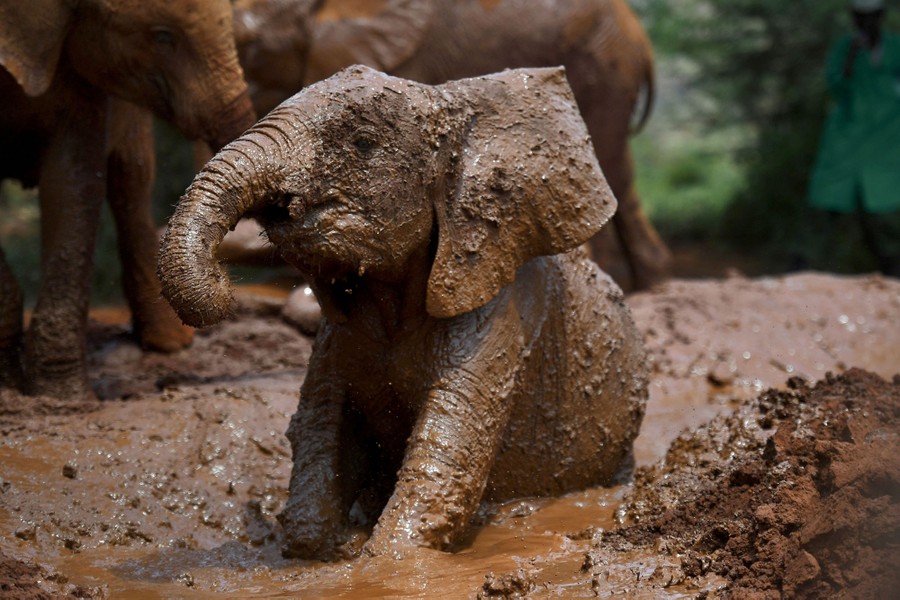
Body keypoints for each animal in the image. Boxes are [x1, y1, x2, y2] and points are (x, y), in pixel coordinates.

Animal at [0, 0, 256, 398]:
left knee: (131, 182)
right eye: (162, 36)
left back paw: (169, 344)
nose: (222, 279)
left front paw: (61, 399)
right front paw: (20, 389)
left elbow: (74, 179)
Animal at [159, 65, 648, 559]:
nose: (225, 282)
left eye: (363, 142)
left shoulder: (496, 301)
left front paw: (384, 558)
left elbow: (450, 450)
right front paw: (333, 547)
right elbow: (323, 425)